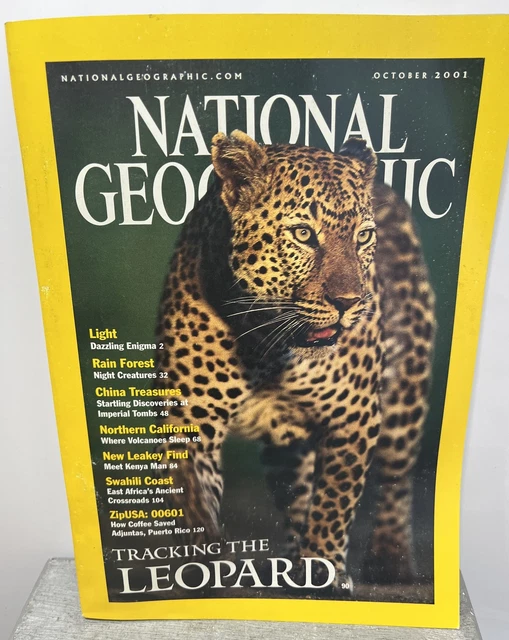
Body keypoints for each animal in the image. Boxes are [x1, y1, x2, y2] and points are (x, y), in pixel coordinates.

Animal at [153, 129, 435, 593]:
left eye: (362, 237)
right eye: (303, 234)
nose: (349, 303)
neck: (265, 341)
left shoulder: (355, 414)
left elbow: (336, 499)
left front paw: (324, 568)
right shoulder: (189, 419)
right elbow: (194, 502)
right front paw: (208, 569)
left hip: (405, 391)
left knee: (395, 477)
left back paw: (388, 559)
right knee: (296, 495)